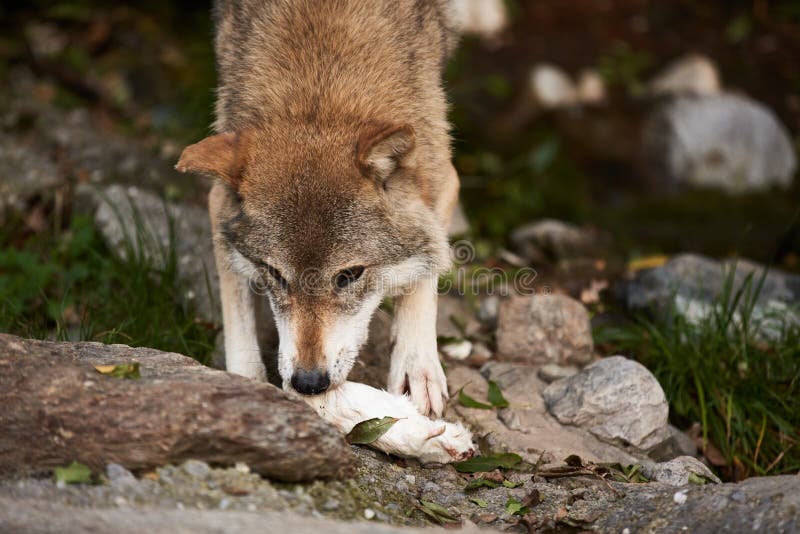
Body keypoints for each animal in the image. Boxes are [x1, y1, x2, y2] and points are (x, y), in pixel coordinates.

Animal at [176, 0, 459, 417]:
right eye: (275, 274)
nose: (308, 383)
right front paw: (246, 384)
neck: (322, 86)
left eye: (350, 275)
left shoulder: (442, 176)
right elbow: (235, 300)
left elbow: (426, 270)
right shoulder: (219, 202)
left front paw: (416, 367)